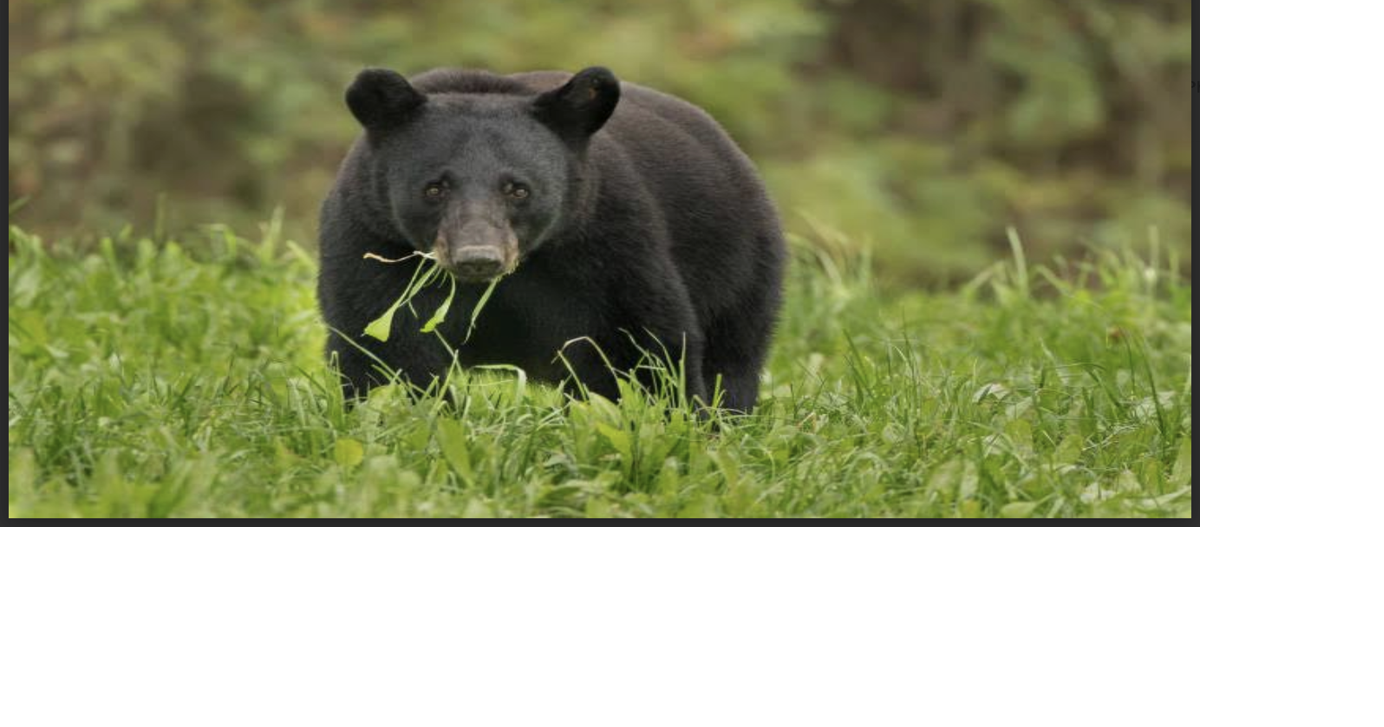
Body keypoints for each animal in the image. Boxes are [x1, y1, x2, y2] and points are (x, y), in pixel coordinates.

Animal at [318, 66, 785, 412]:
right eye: (434, 188)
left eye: (518, 189)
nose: (478, 257)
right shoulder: (373, 241)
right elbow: (385, 344)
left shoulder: (607, 247)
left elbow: (645, 344)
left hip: (739, 269)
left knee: (734, 359)